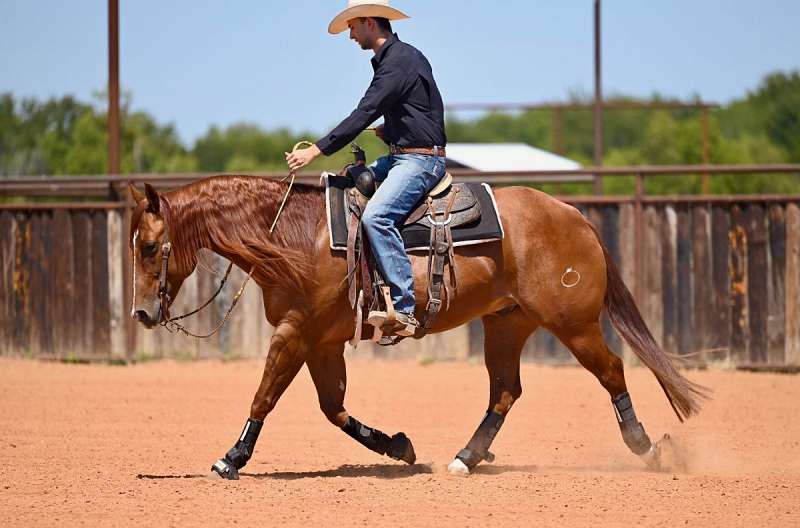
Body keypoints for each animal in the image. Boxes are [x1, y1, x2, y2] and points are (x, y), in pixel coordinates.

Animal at [127, 175, 706, 479]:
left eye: (151, 246)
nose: (142, 313)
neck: (295, 237)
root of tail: (575, 215)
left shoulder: (296, 333)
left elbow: (264, 395)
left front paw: (232, 458)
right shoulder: (322, 343)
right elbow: (333, 409)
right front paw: (398, 446)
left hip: (575, 324)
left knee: (612, 371)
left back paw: (645, 448)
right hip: (506, 325)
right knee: (505, 391)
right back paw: (467, 457)